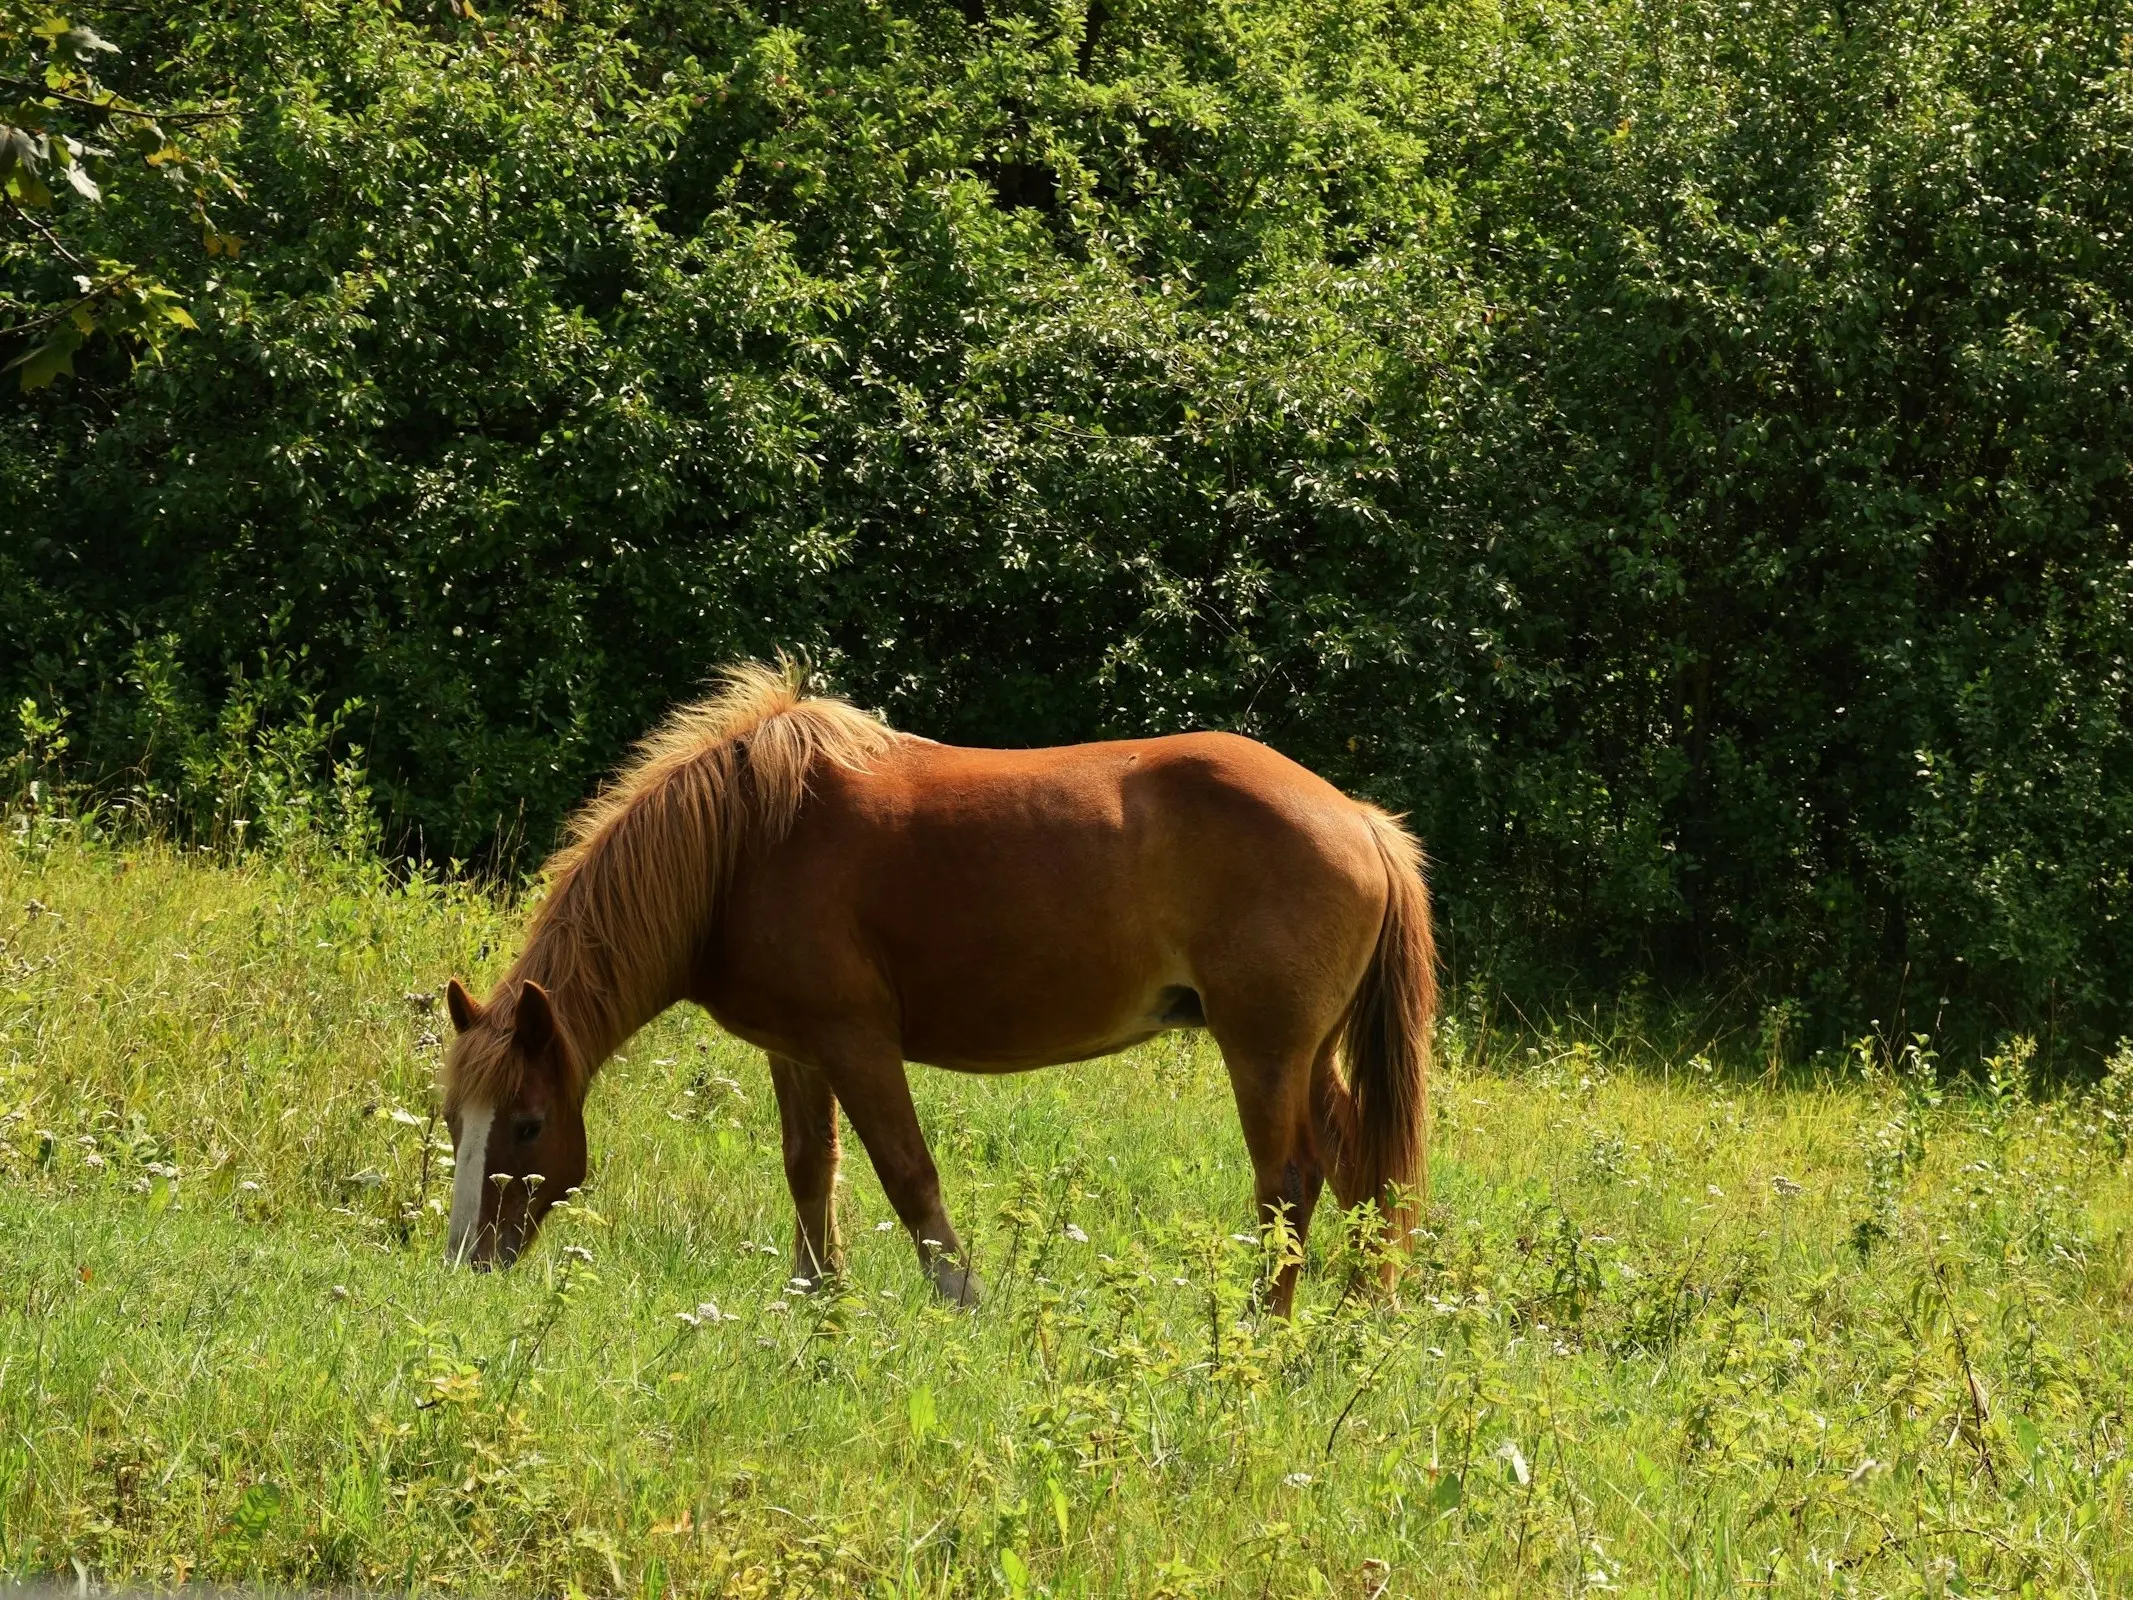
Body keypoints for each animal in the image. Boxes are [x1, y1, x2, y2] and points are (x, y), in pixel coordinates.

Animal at [440, 663, 1435, 1315]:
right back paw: (1358, 1317)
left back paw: (1260, 1328)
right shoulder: (795, 1051)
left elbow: (906, 1172)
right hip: (1307, 1054)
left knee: (1289, 1180)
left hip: (1263, 1051)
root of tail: (1359, 818)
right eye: (455, 1122)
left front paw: (960, 1297)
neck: (743, 847)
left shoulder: (856, 1044)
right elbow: (810, 1169)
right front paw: (815, 1299)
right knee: (1360, 1168)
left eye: (526, 1124)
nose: (464, 1265)